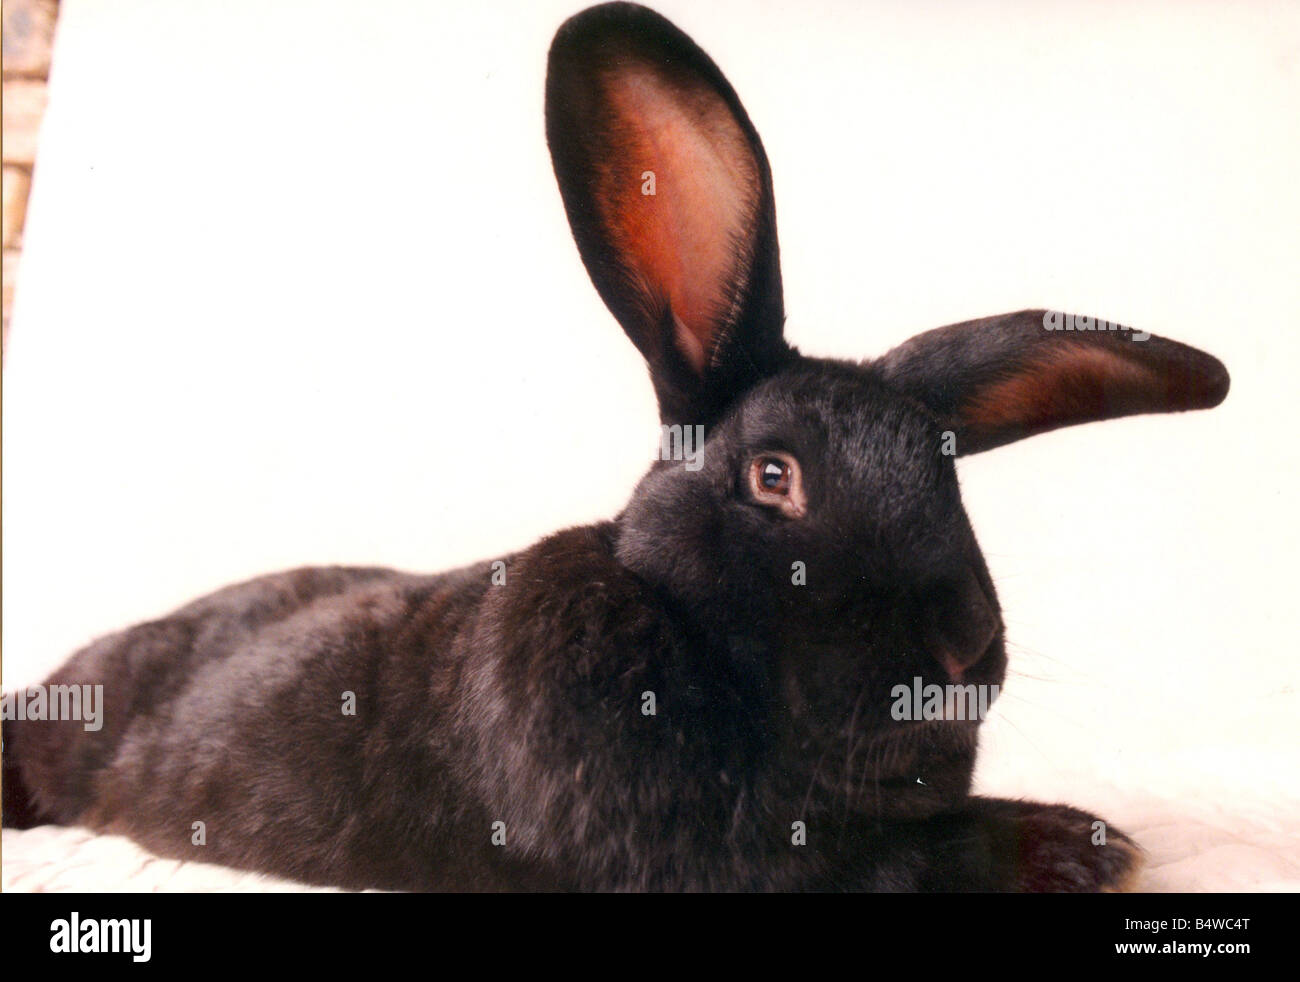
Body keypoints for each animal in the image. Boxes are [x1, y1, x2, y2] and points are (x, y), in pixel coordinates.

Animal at [1, 1, 1228, 892]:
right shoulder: (711, 862)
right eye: (772, 475)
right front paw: (1068, 842)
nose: (965, 648)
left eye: (947, 472)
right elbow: (894, 862)